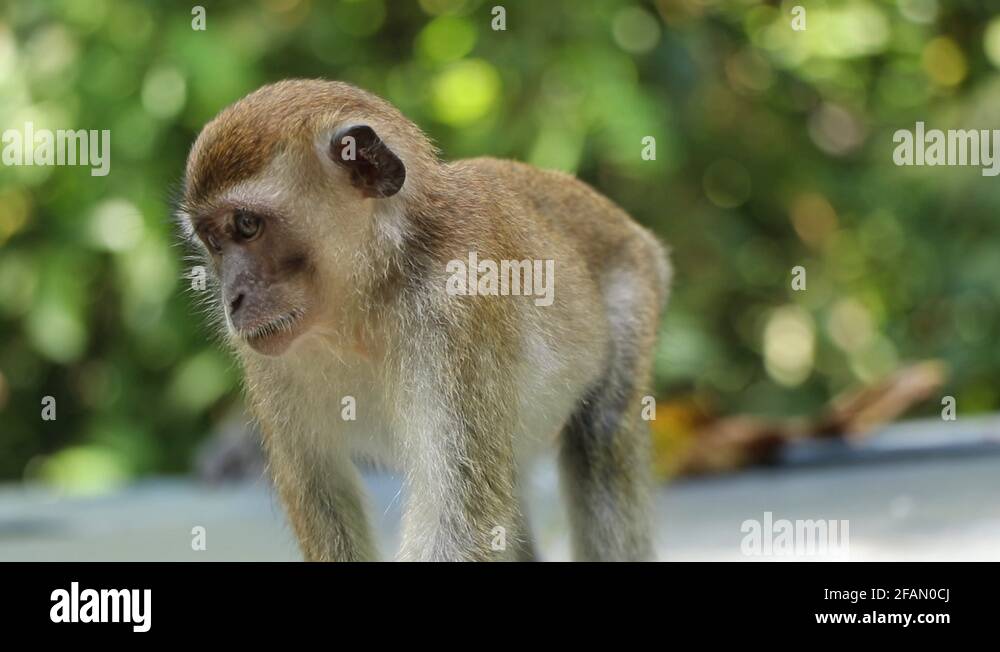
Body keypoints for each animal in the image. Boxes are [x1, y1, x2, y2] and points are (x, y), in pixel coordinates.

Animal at [178, 79, 671, 561]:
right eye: (213, 241)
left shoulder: (456, 313)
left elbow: (458, 521)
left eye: (246, 225)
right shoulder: (269, 359)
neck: (366, 302)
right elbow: (321, 490)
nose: (233, 299)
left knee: (600, 438)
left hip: (634, 281)